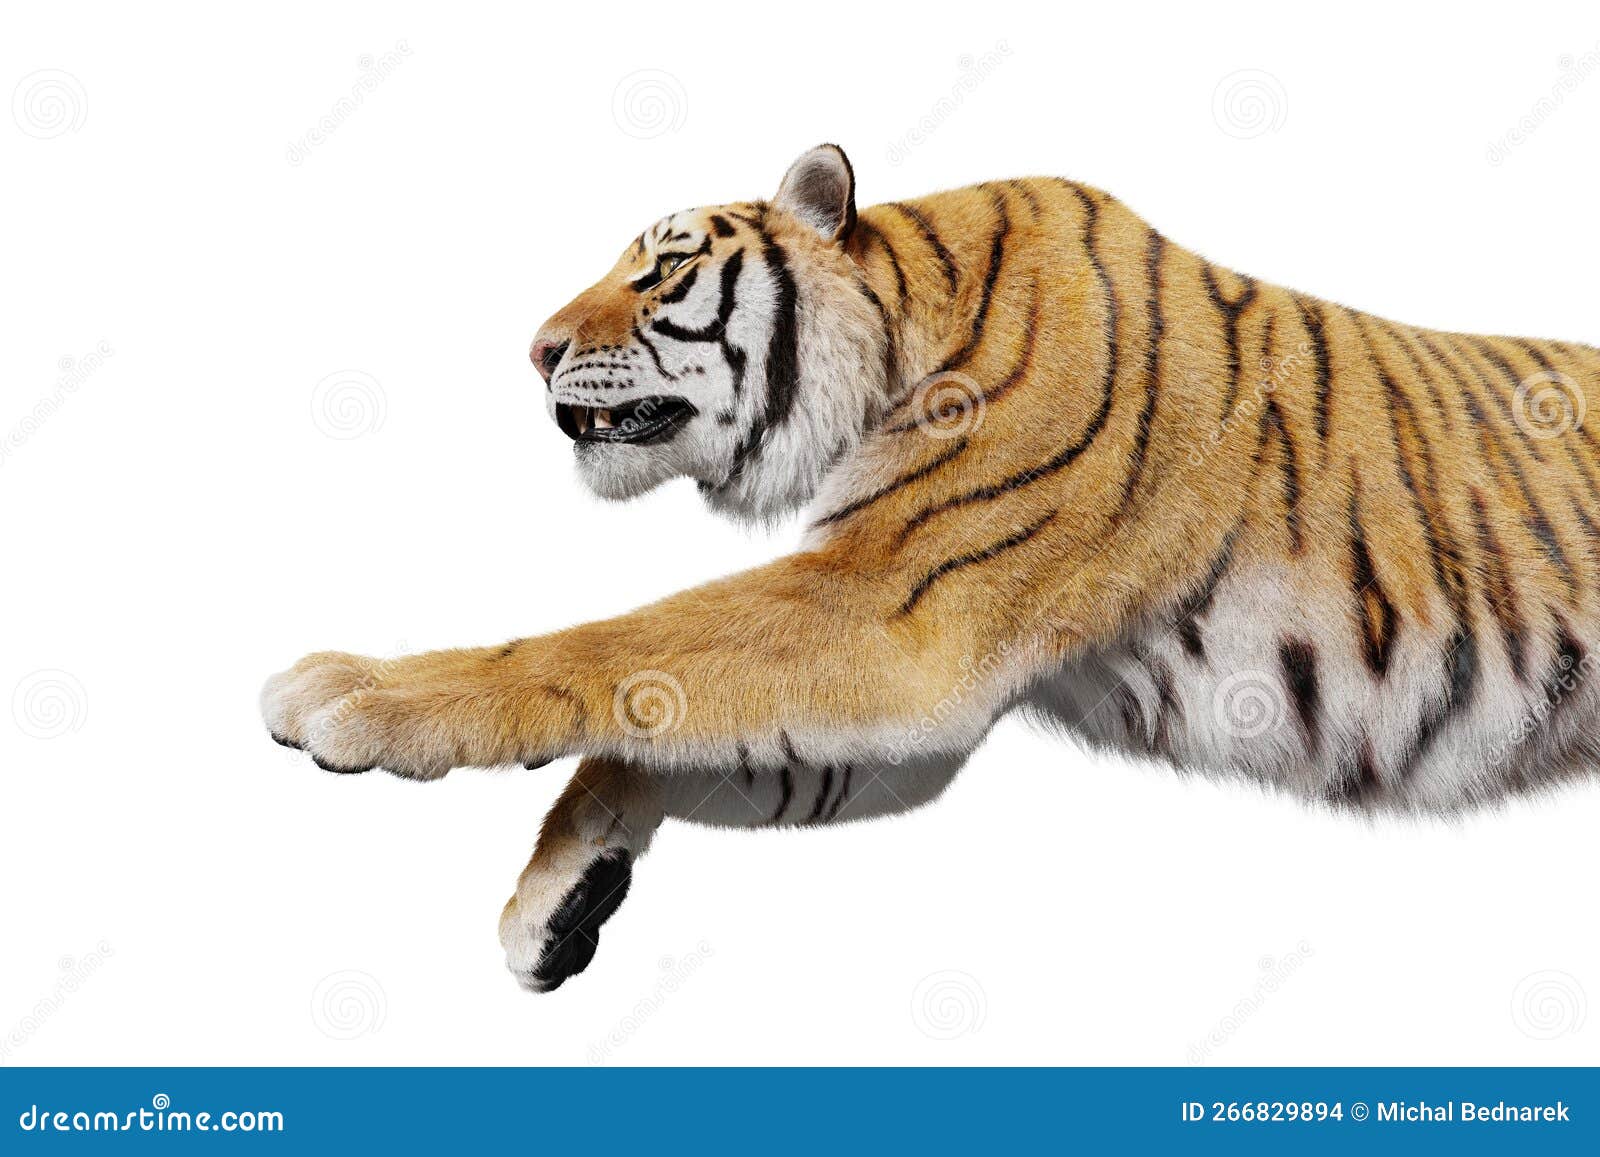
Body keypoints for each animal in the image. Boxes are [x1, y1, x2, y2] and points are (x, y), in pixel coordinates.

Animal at [263, 144, 1600, 993]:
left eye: (662, 268)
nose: (532, 350)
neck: (911, 325)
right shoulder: (897, 696)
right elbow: (652, 724)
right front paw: (559, 895)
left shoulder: (890, 614)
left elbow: (607, 645)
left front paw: (355, 691)